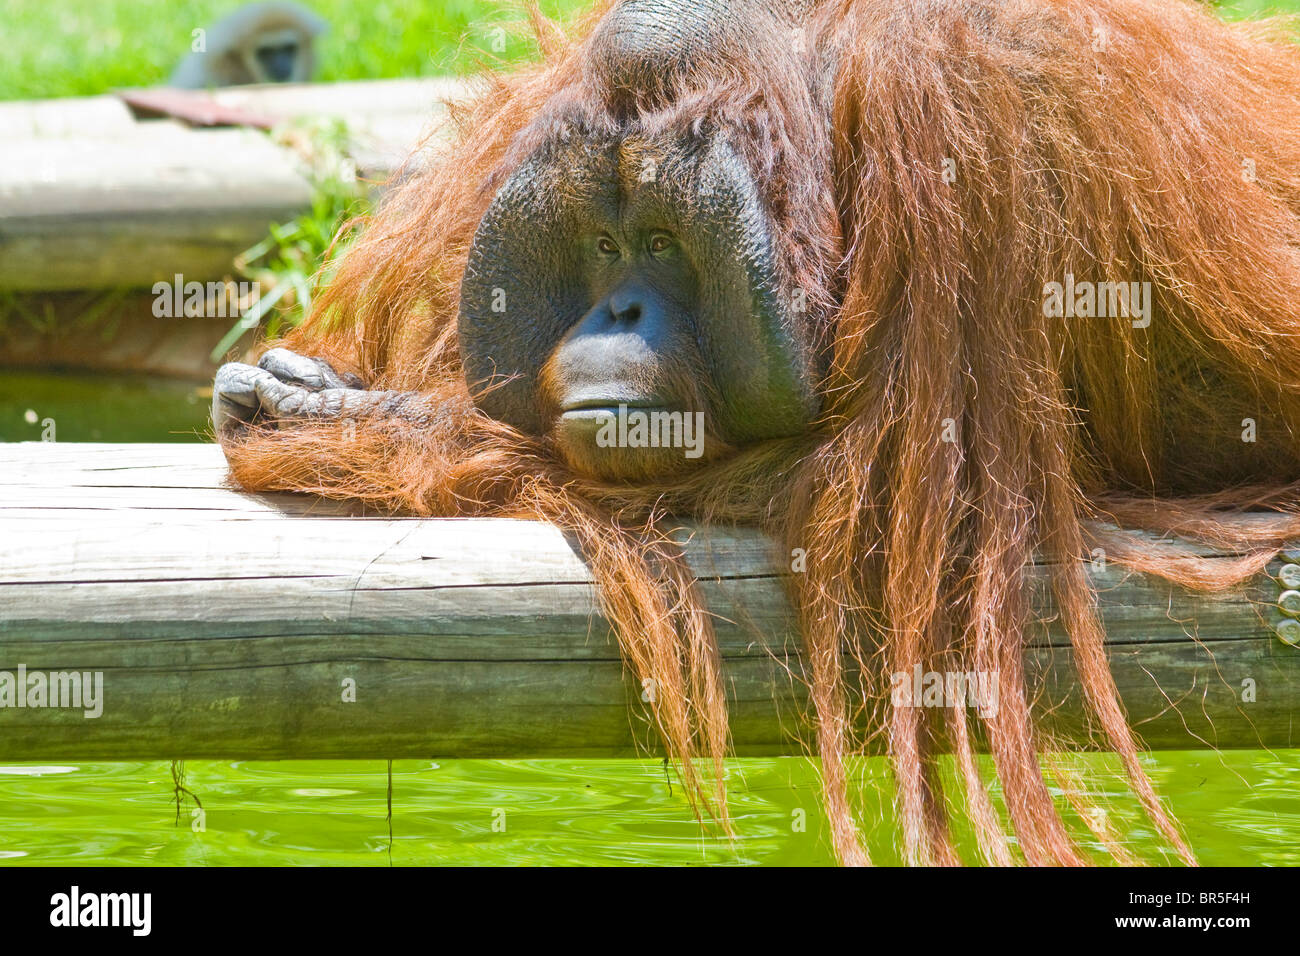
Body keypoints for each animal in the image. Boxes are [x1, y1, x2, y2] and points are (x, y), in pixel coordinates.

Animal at [213, 0, 1300, 865]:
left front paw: (344, 411)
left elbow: (884, 510)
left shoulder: (966, 155)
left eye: (661, 243)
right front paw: (320, 386)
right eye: (601, 245)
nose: (617, 312)